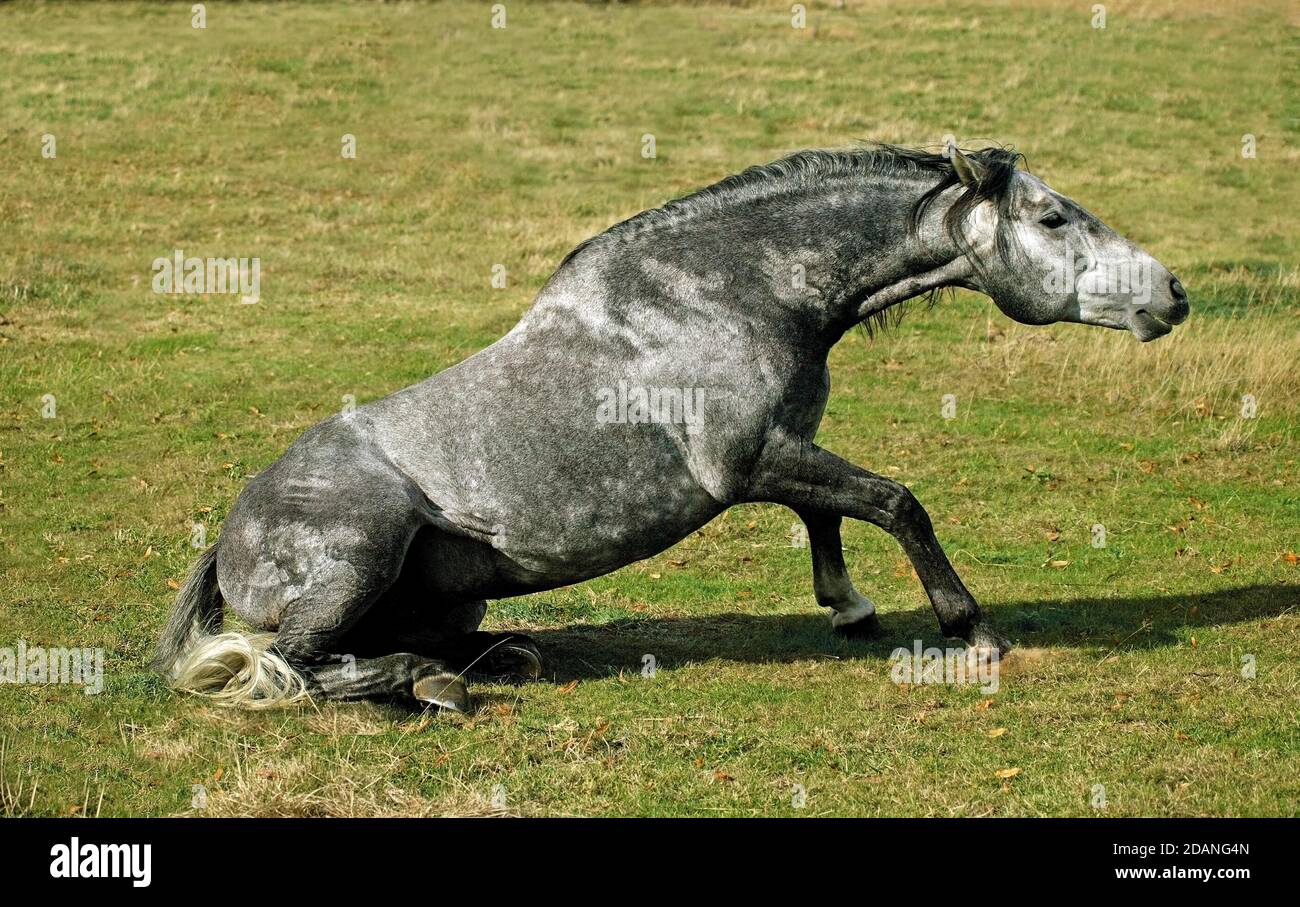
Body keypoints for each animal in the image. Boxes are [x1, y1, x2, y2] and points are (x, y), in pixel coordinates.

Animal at [152, 143, 1189, 711]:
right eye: (1052, 218)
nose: (1172, 293)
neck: (731, 292)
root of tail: (229, 537)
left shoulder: (783, 449)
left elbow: (830, 512)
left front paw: (848, 606)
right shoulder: (749, 462)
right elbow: (896, 502)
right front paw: (968, 629)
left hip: (450, 595)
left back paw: (491, 658)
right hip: (358, 560)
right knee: (286, 669)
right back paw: (429, 684)